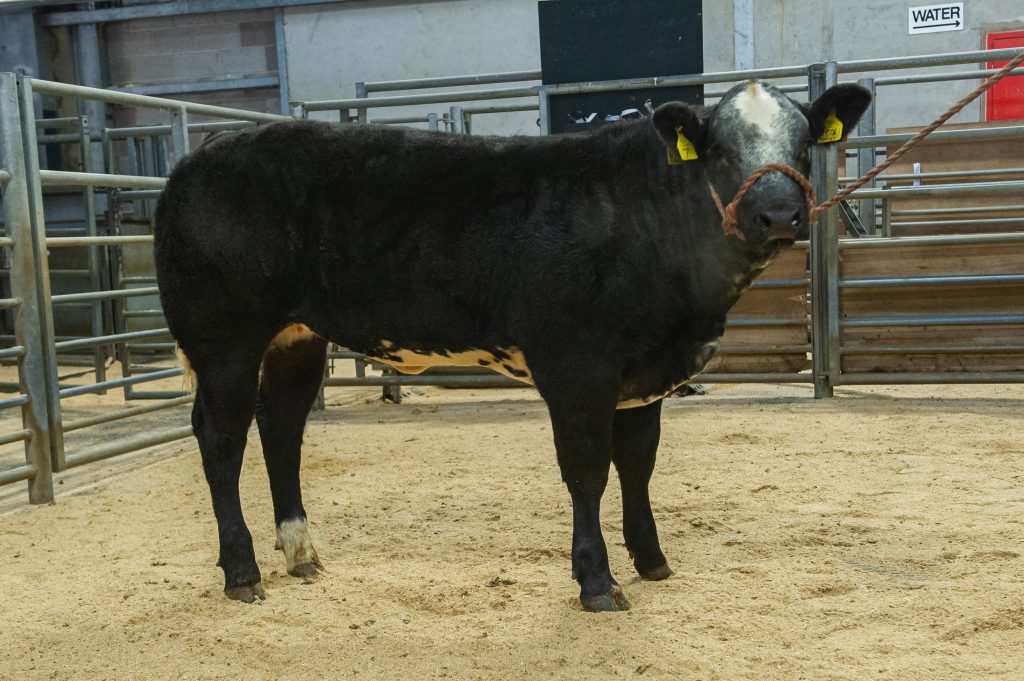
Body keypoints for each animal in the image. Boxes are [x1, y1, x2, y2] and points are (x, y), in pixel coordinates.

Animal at [154, 80, 871, 612]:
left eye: (805, 142)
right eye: (718, 148)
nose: (778, 213)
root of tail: (203, 152)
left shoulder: (643, 373)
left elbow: (638, 464)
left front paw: (653, 560)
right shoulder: (578, 366)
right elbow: (588, 470)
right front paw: (597, 581)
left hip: (296, 337)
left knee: (281, 428)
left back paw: (301, 552)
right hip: (223, 340)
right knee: (222, 439)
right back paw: (243, 571)